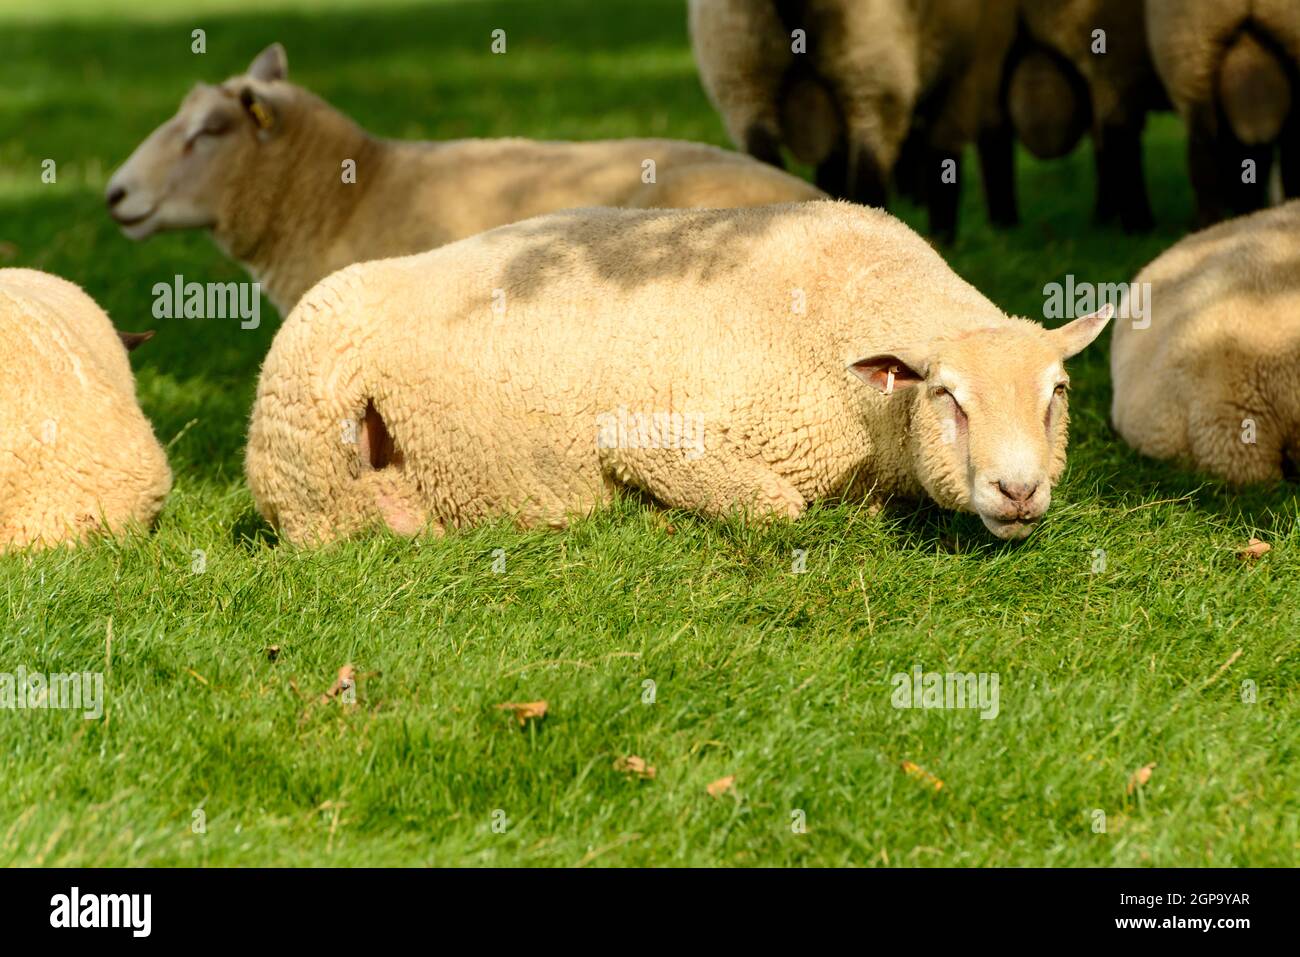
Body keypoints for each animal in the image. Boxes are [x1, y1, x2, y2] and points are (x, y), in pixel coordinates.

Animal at [244, 200, 1112, 545]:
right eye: (947, 398)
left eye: (1058, 395)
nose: (1018, 490)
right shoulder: (653, 434)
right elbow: (777, 507)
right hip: (308, 444)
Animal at [687, 0, 1020, 242]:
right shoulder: (976, 63)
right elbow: (964, 150)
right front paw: (972, 232)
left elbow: (833, 163)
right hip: (869, 54)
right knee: (870, 168)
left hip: (739, 57)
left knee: (761, 155)